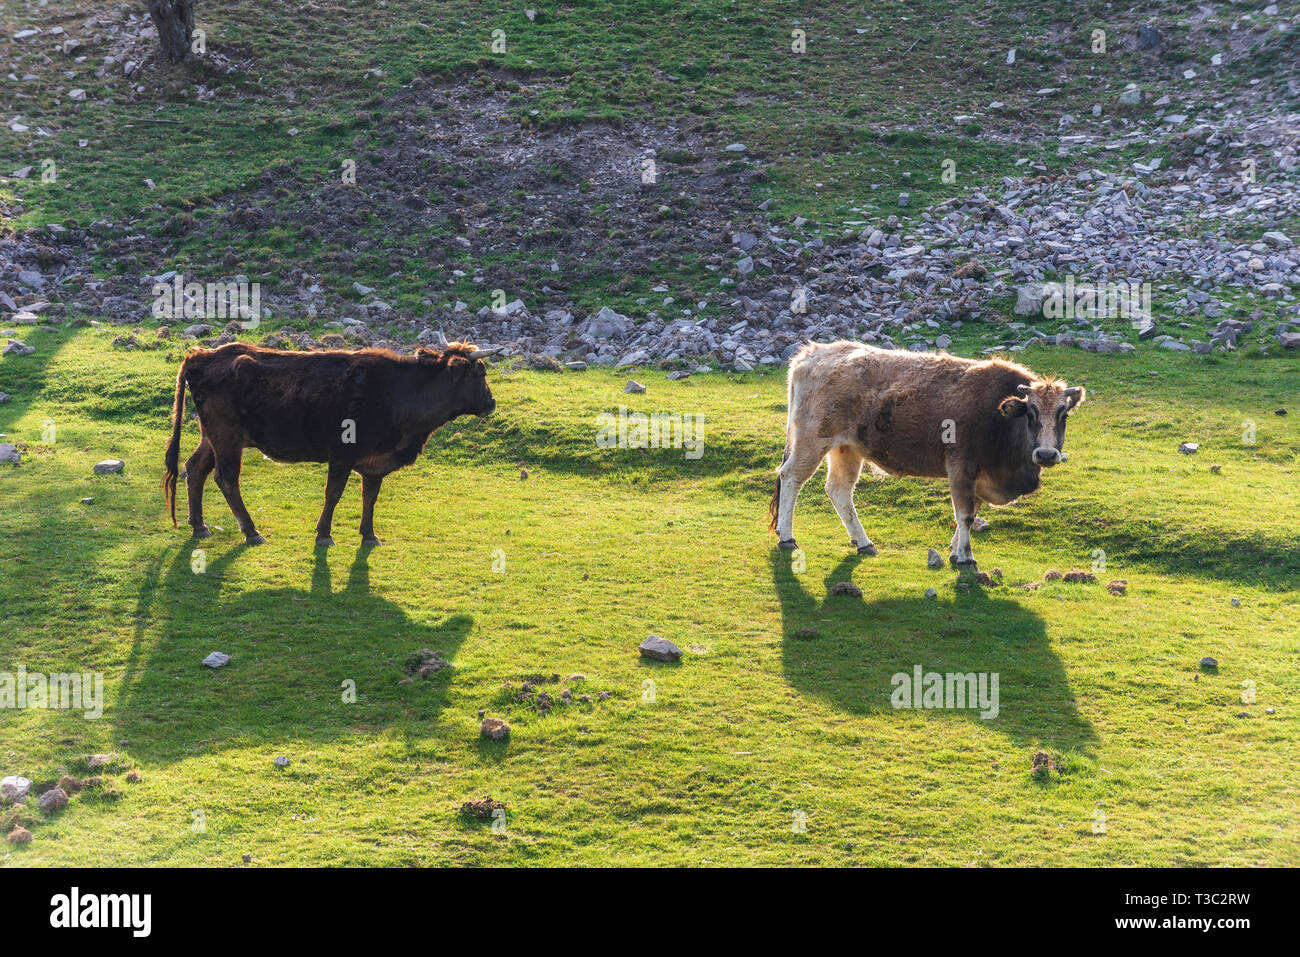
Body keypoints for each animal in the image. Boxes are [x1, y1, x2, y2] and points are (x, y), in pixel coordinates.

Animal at [163, 341, 500, 547]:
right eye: (480, 373)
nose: (491, 402)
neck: (399, 391)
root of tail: (201, 356)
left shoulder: (375, 463)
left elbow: (370, 496)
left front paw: (369, 535)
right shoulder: (342, 454)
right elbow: (334, 493)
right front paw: (324, 533)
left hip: (212, 436)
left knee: (195, 468)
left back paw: (199, 526)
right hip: (226, 437)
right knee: (226, 478)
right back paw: (250, 530)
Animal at [768, 341, 1085, 570]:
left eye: (1064, 415)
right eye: (1031, 413)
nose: (1046, 454)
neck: (999, 420)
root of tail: (812, 353)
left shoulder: (979, 479)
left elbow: (970, 513)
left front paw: (955, 553)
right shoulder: (960, 468)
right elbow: (965, 515)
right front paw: (967, 559)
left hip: (847, 449)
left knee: (839, 491)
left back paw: (864, 542)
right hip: (812, 441)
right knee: (791, 478)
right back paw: (787, 538)